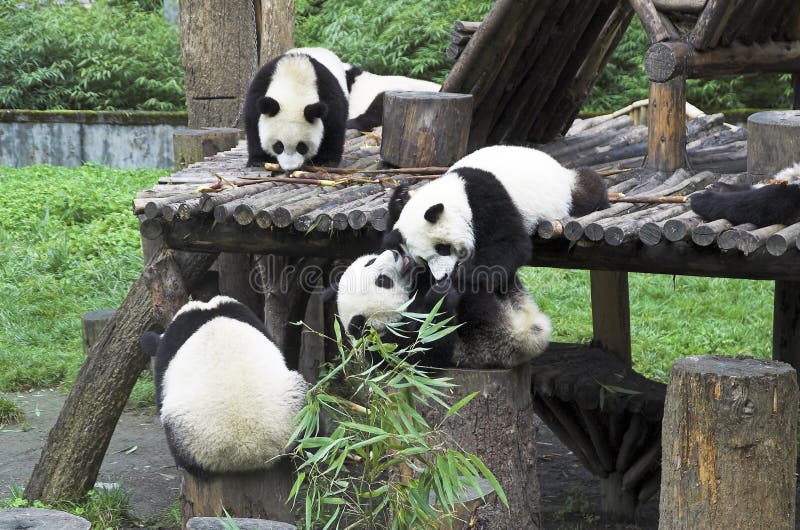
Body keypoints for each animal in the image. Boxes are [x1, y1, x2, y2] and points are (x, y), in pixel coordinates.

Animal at [330, 249, 552, 369]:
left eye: (370, 261)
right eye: (382, 281)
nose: (394, 253)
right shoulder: (388, 347)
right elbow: (428, 347)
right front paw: (443, 293)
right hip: (492, 332)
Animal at [382, 145, 609, 286]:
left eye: (443, 248)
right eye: (422, 259)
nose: (442, 276)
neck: (456, 192)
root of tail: (554, 162)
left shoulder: (486, 199)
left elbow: (510, 243)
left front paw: (463, 273)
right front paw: (400, 197)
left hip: (566, 190)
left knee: (588, 186)